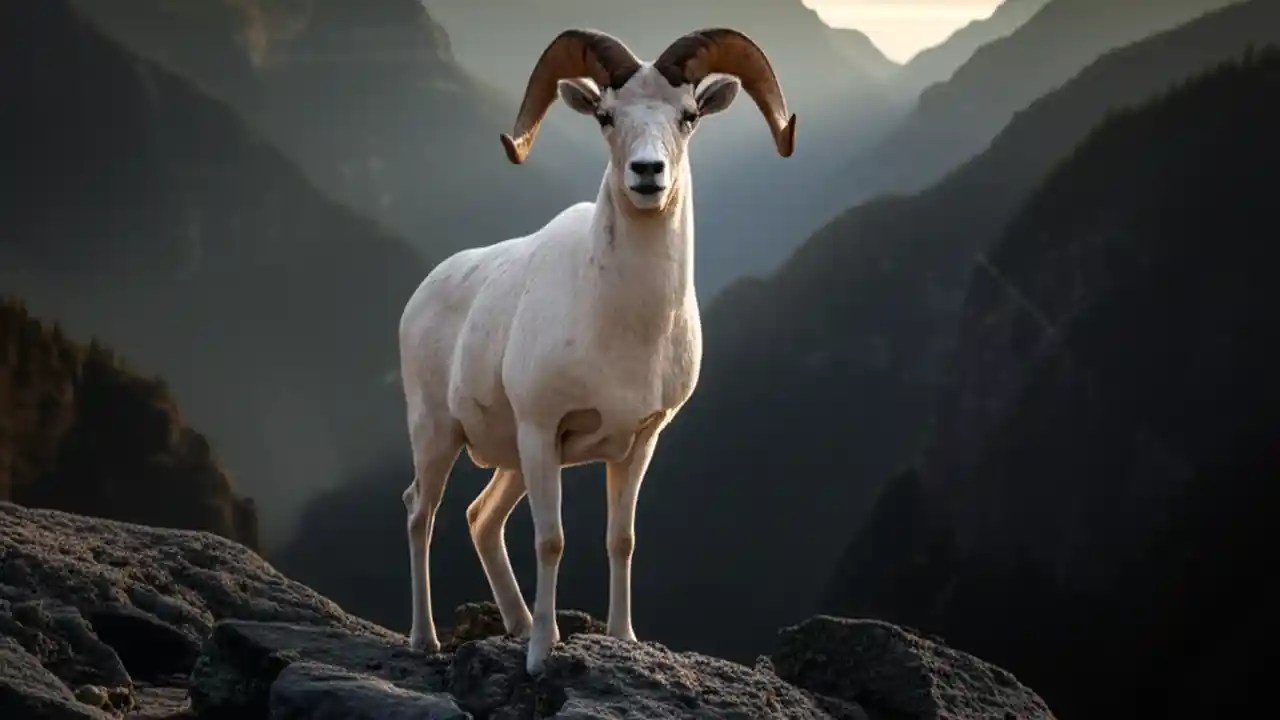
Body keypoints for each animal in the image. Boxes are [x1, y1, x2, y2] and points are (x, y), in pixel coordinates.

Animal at [397, 27, 796, 675]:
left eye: (687, 116)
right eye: (607, 117)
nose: (647, 173)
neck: (624, 328)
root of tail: (424, 292)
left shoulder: (638, 443)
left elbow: (621, 540)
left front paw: (622, 639)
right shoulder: (542, 430)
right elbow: (551, 541)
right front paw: (540, 657)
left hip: (510, 461)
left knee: (481, 519)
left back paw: (515, 623)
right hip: (439, 434)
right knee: (420, 514)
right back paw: (426, 639)